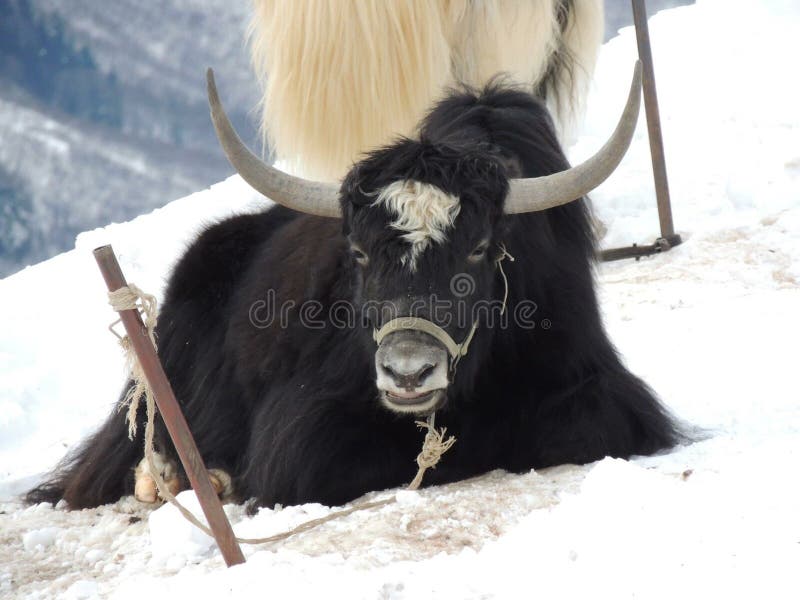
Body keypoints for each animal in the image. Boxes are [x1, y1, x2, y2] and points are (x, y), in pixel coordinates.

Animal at [26, 62, 679, 510]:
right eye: (360, 254)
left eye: (478, 249)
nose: (408, 373)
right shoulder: (305, 422)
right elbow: (309, 460)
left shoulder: (598, 384)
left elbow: (592, 422)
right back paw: (186, 476)